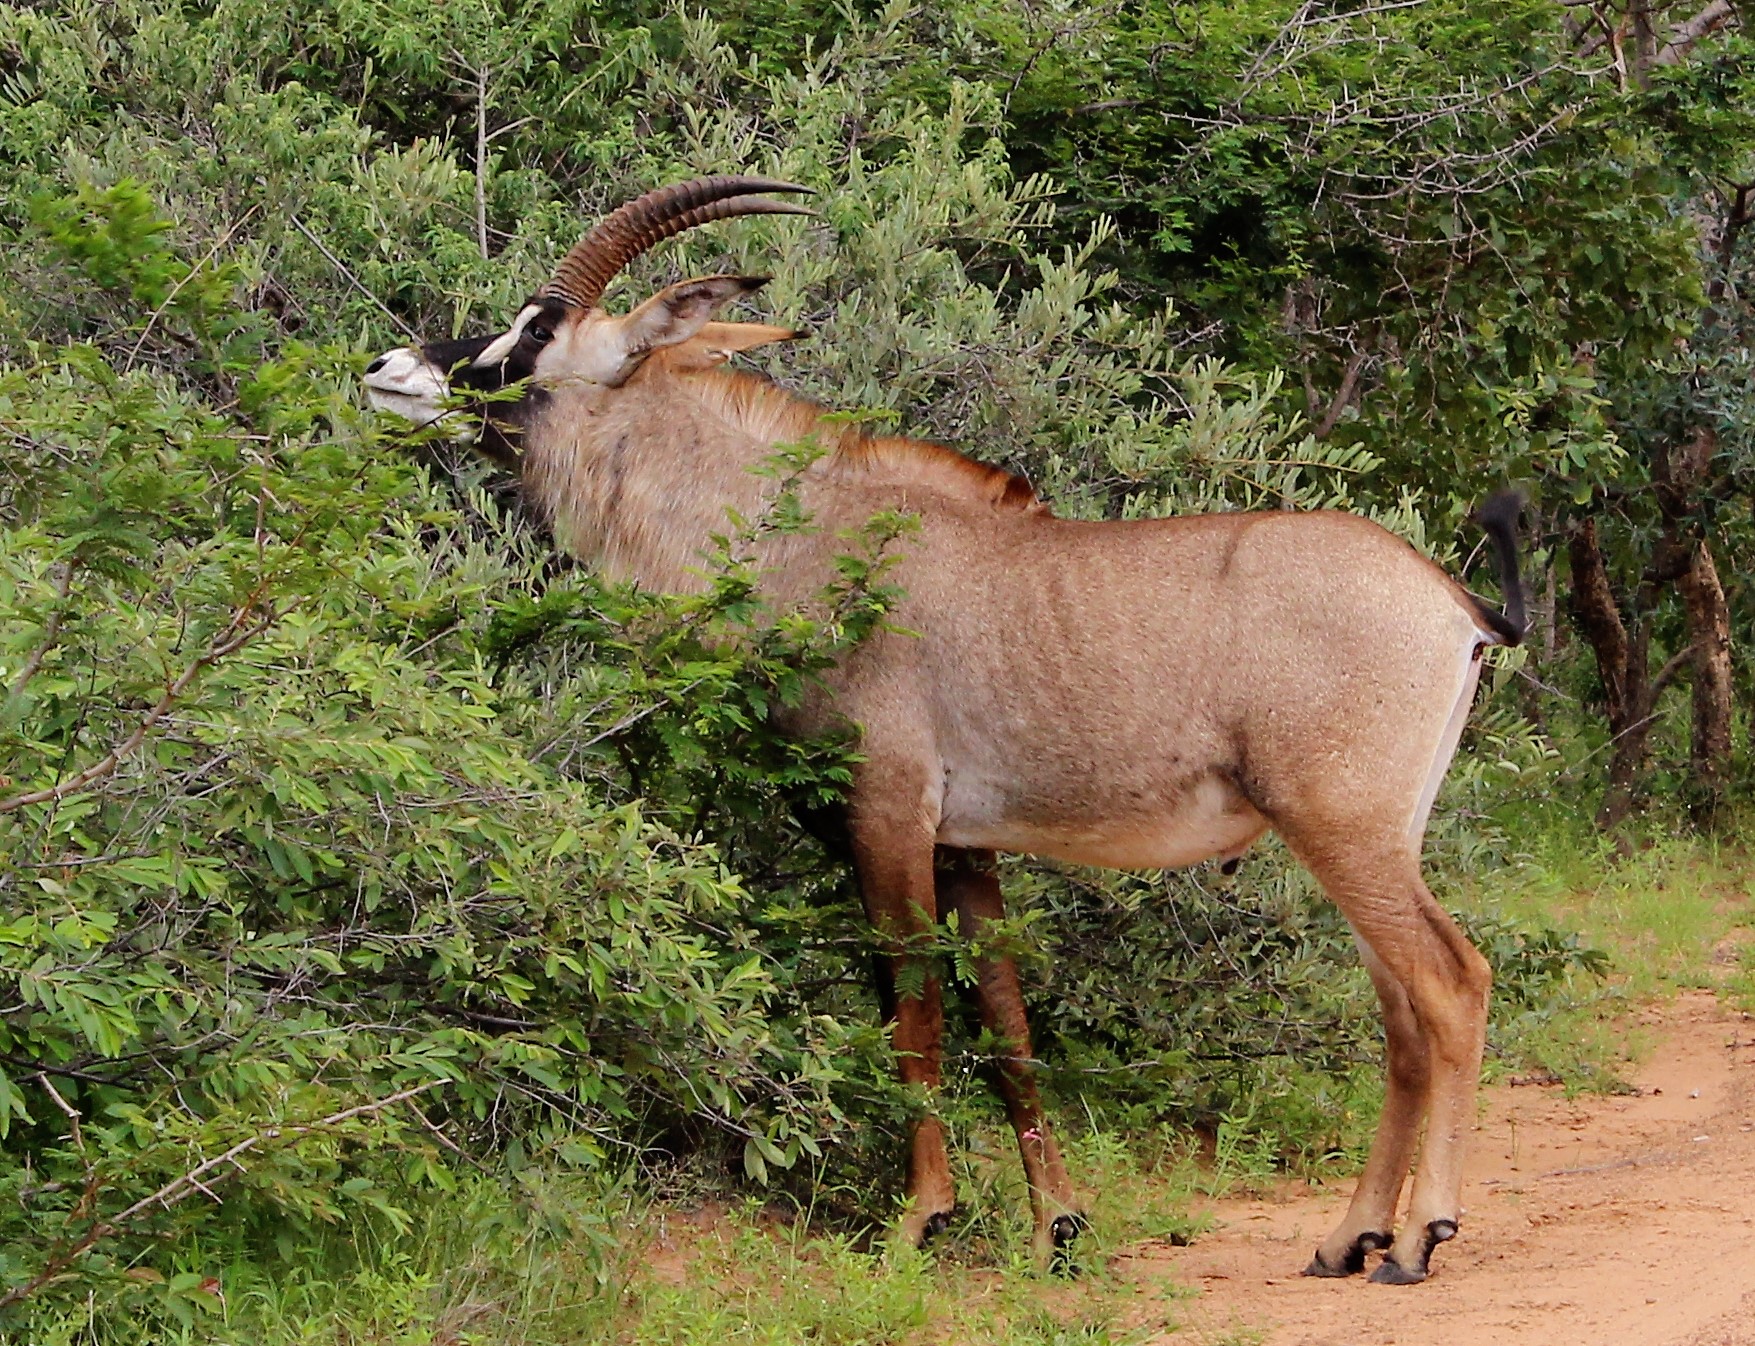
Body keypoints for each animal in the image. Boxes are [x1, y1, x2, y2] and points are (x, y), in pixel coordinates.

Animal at [364, 175, 1527, 1284]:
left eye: (531, 334)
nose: (390, 367)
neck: (806, 538)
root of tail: (1457, 604)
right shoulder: (968, 844)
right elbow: (1007, 1028)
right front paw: (1058, 1224)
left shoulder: (887, 813)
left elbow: (913, 1015)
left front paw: (919, 1217)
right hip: (1367, 840)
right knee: (1401, 1016)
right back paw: (1346, 1237)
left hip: (1342, 827)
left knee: (1450, 984)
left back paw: (1418, 1238)